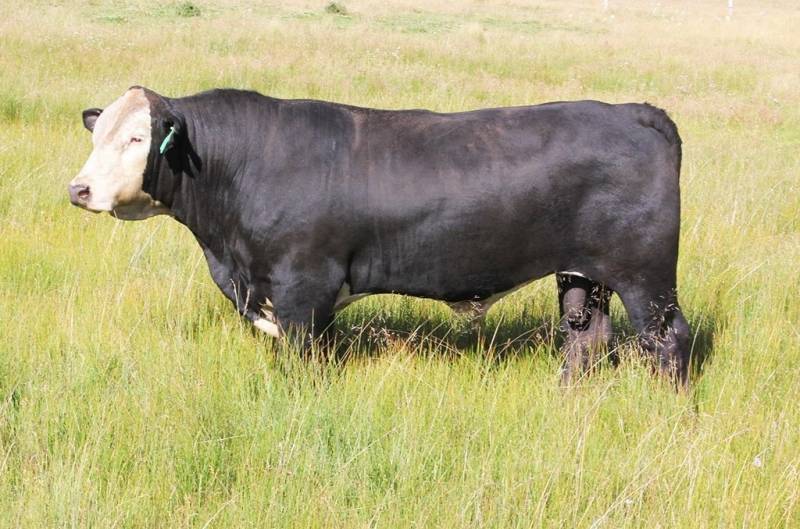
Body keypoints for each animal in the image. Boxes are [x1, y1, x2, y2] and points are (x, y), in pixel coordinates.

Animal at [68, 86, 691, 384]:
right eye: (99, 134)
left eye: (137, 139)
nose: (79, 189)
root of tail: (633, 111)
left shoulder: (303, 286)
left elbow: (304, 360)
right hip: (583, 274)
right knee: (587, 338)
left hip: (647, 276)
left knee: (668, 340)